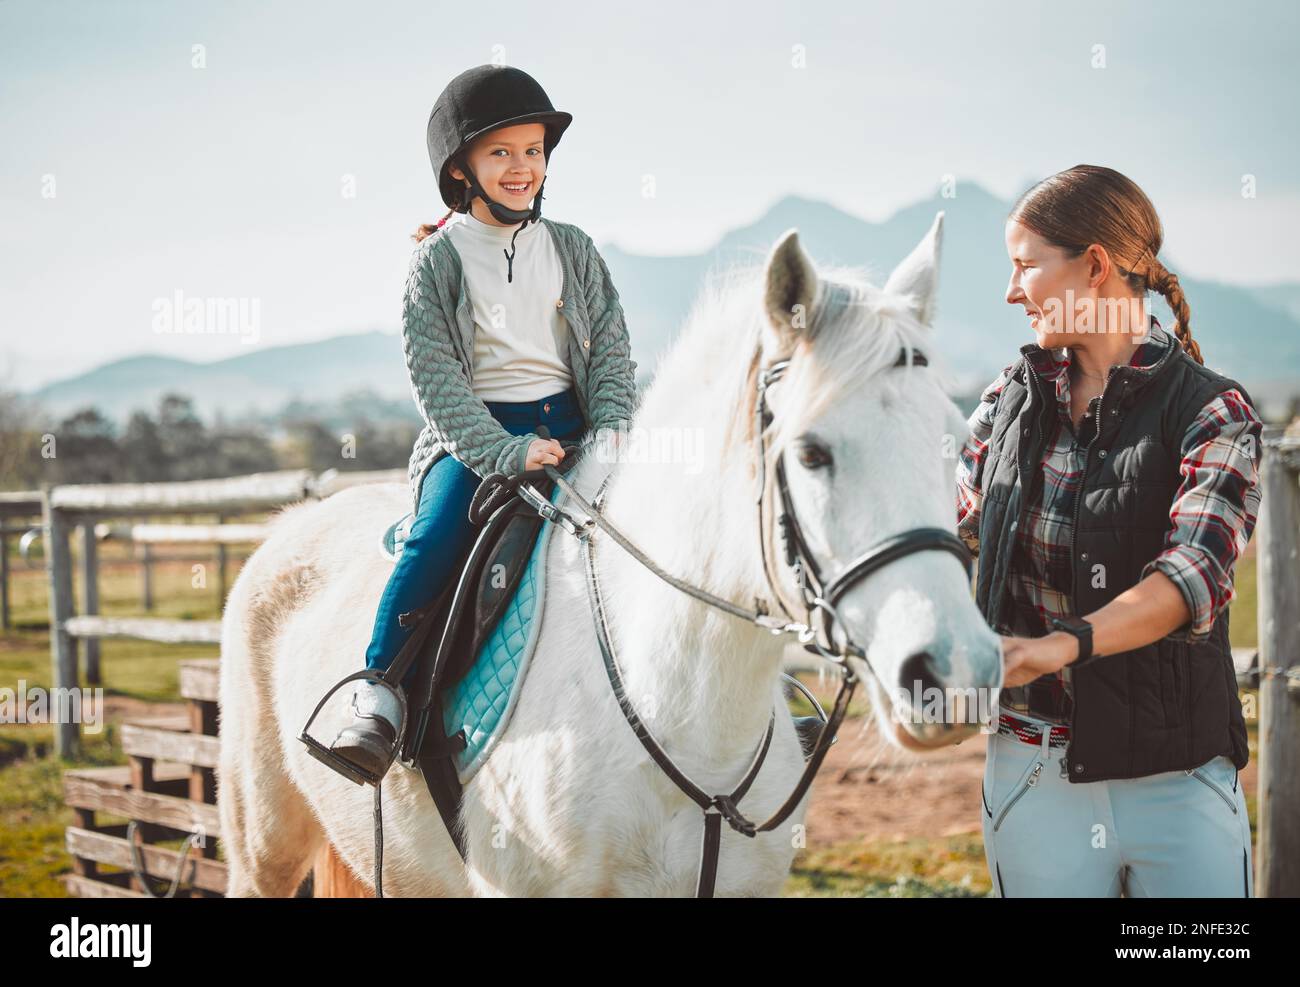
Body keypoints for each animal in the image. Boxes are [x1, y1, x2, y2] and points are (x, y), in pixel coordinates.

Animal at [216, 213, 1004, 897]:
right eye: (812, 453)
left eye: (958, 443)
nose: (954, 674)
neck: (676, 705)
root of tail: (291, 525)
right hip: (264, 847)